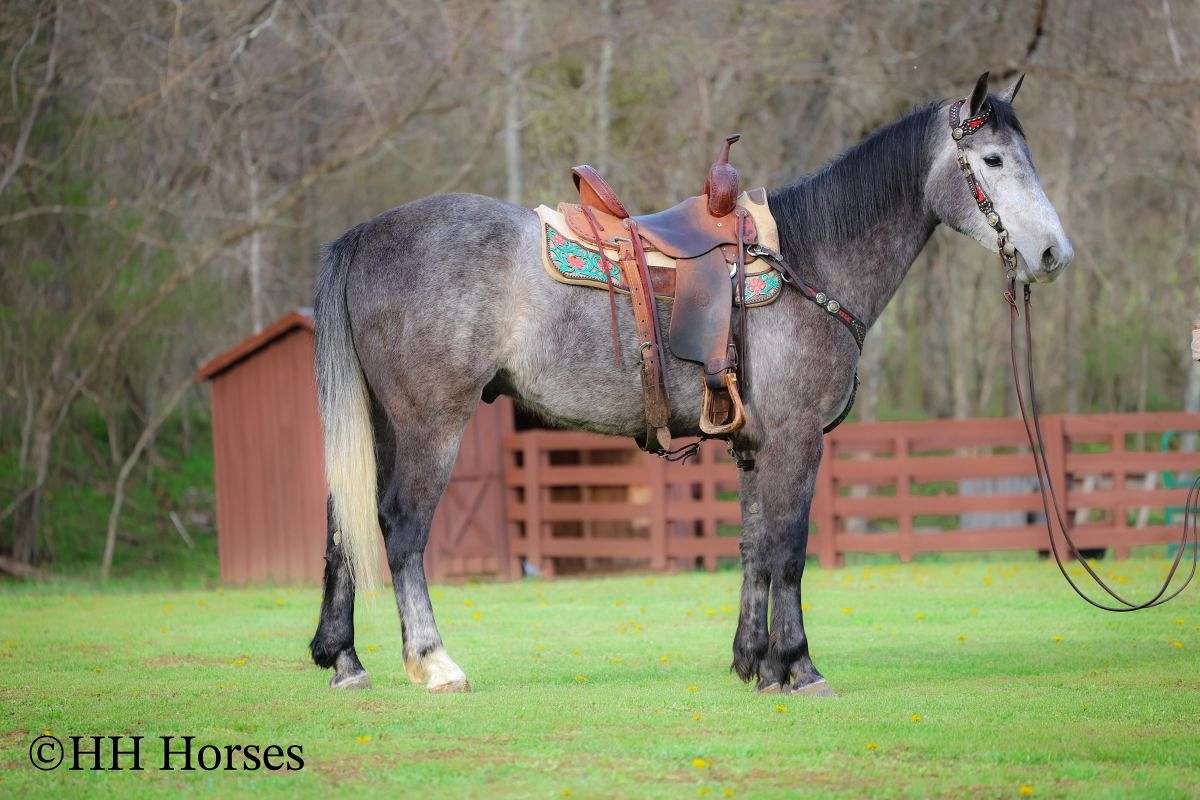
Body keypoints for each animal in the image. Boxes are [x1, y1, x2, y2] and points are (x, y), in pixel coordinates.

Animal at [308, 72, 1072, 695]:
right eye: (994, 160)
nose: (1052, 253)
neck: (807, 261)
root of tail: (365, 234)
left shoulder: (753, 447)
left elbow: (754, 548)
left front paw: (754, 662)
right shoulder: (796, 440)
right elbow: (788, 549)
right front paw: (798, 666)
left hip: (381, 424)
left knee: (346, 520)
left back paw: (343, 659)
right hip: (431, 425)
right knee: (401, 526)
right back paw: (433, 662)